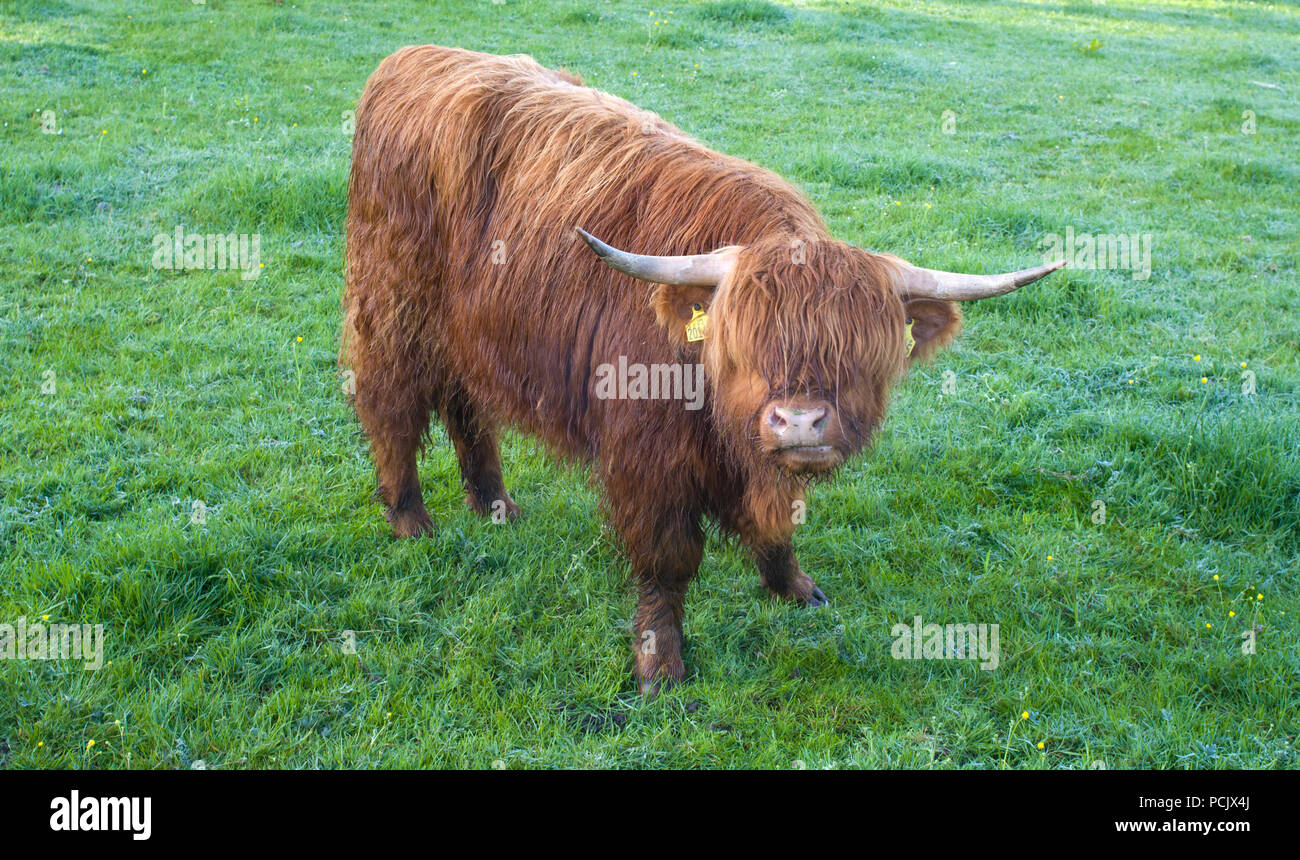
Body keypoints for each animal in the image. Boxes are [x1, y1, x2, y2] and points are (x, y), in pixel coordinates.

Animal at [341, 45, 1062, 694]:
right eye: (743, 349)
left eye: (857, 357)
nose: (800, 422)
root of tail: (411, 58)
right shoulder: (648, 460)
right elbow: (669, 561)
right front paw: (660, 664)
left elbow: (777, 525)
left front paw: (793, 586)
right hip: (394, 311)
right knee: (391, 406)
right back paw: (410, 518)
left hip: (468, 334)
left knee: (467, 410)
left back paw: (495, 504)